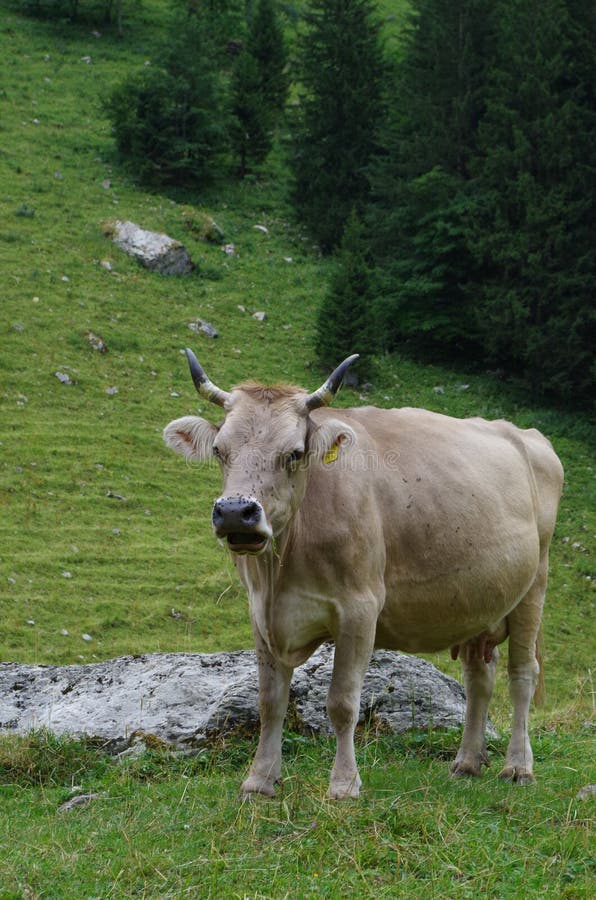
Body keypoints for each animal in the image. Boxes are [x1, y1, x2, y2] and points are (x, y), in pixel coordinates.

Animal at [164, 350, 564, 799]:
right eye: (219, 450)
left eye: (295, 453)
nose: (236, 512)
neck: (279, 573)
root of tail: (528, 435)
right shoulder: (261, 615)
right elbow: (269, 701)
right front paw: (259, 780)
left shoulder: (359, 609)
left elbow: (342, 703)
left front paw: (344, 784)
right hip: (478, 603)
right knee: (480, 678)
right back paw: (466, 762)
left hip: (534, 587)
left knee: (522, 675)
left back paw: (518, 766)